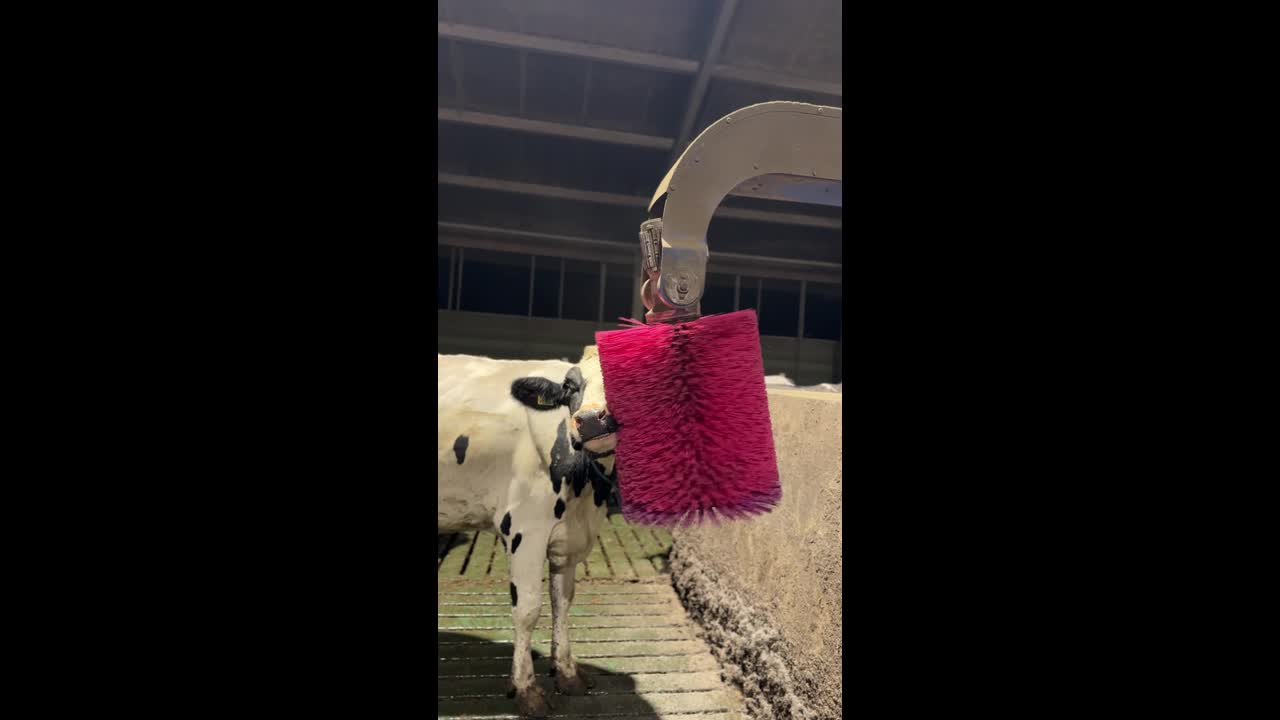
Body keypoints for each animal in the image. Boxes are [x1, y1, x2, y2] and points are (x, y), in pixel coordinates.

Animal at [438, 346, 618, 717]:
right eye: (571, 387)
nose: (591, 420)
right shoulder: (524, 528)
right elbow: (529, 609)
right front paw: (526, 690)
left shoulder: (568, 539)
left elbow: (562, 601)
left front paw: (567, 674)